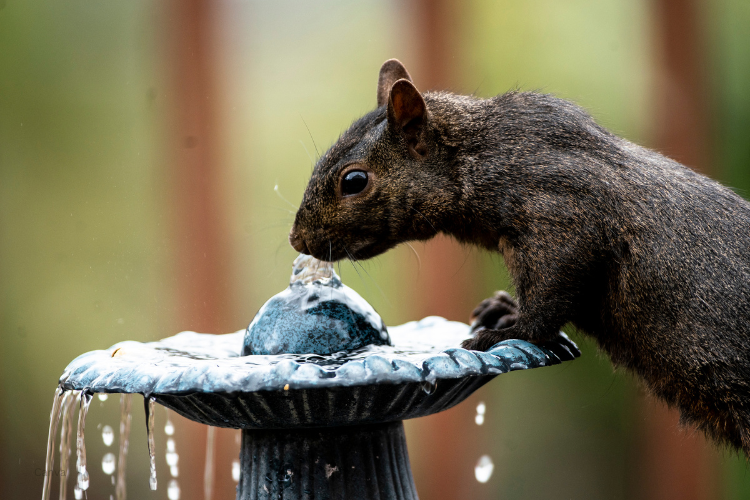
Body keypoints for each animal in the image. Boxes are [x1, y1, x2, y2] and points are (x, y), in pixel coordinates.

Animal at [288, 59, 750, 457]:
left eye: (354, 181)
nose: (296, 240)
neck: (482, 156)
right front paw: (502, 309)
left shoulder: (562, 213)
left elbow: (549, 299)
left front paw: (509, 329)